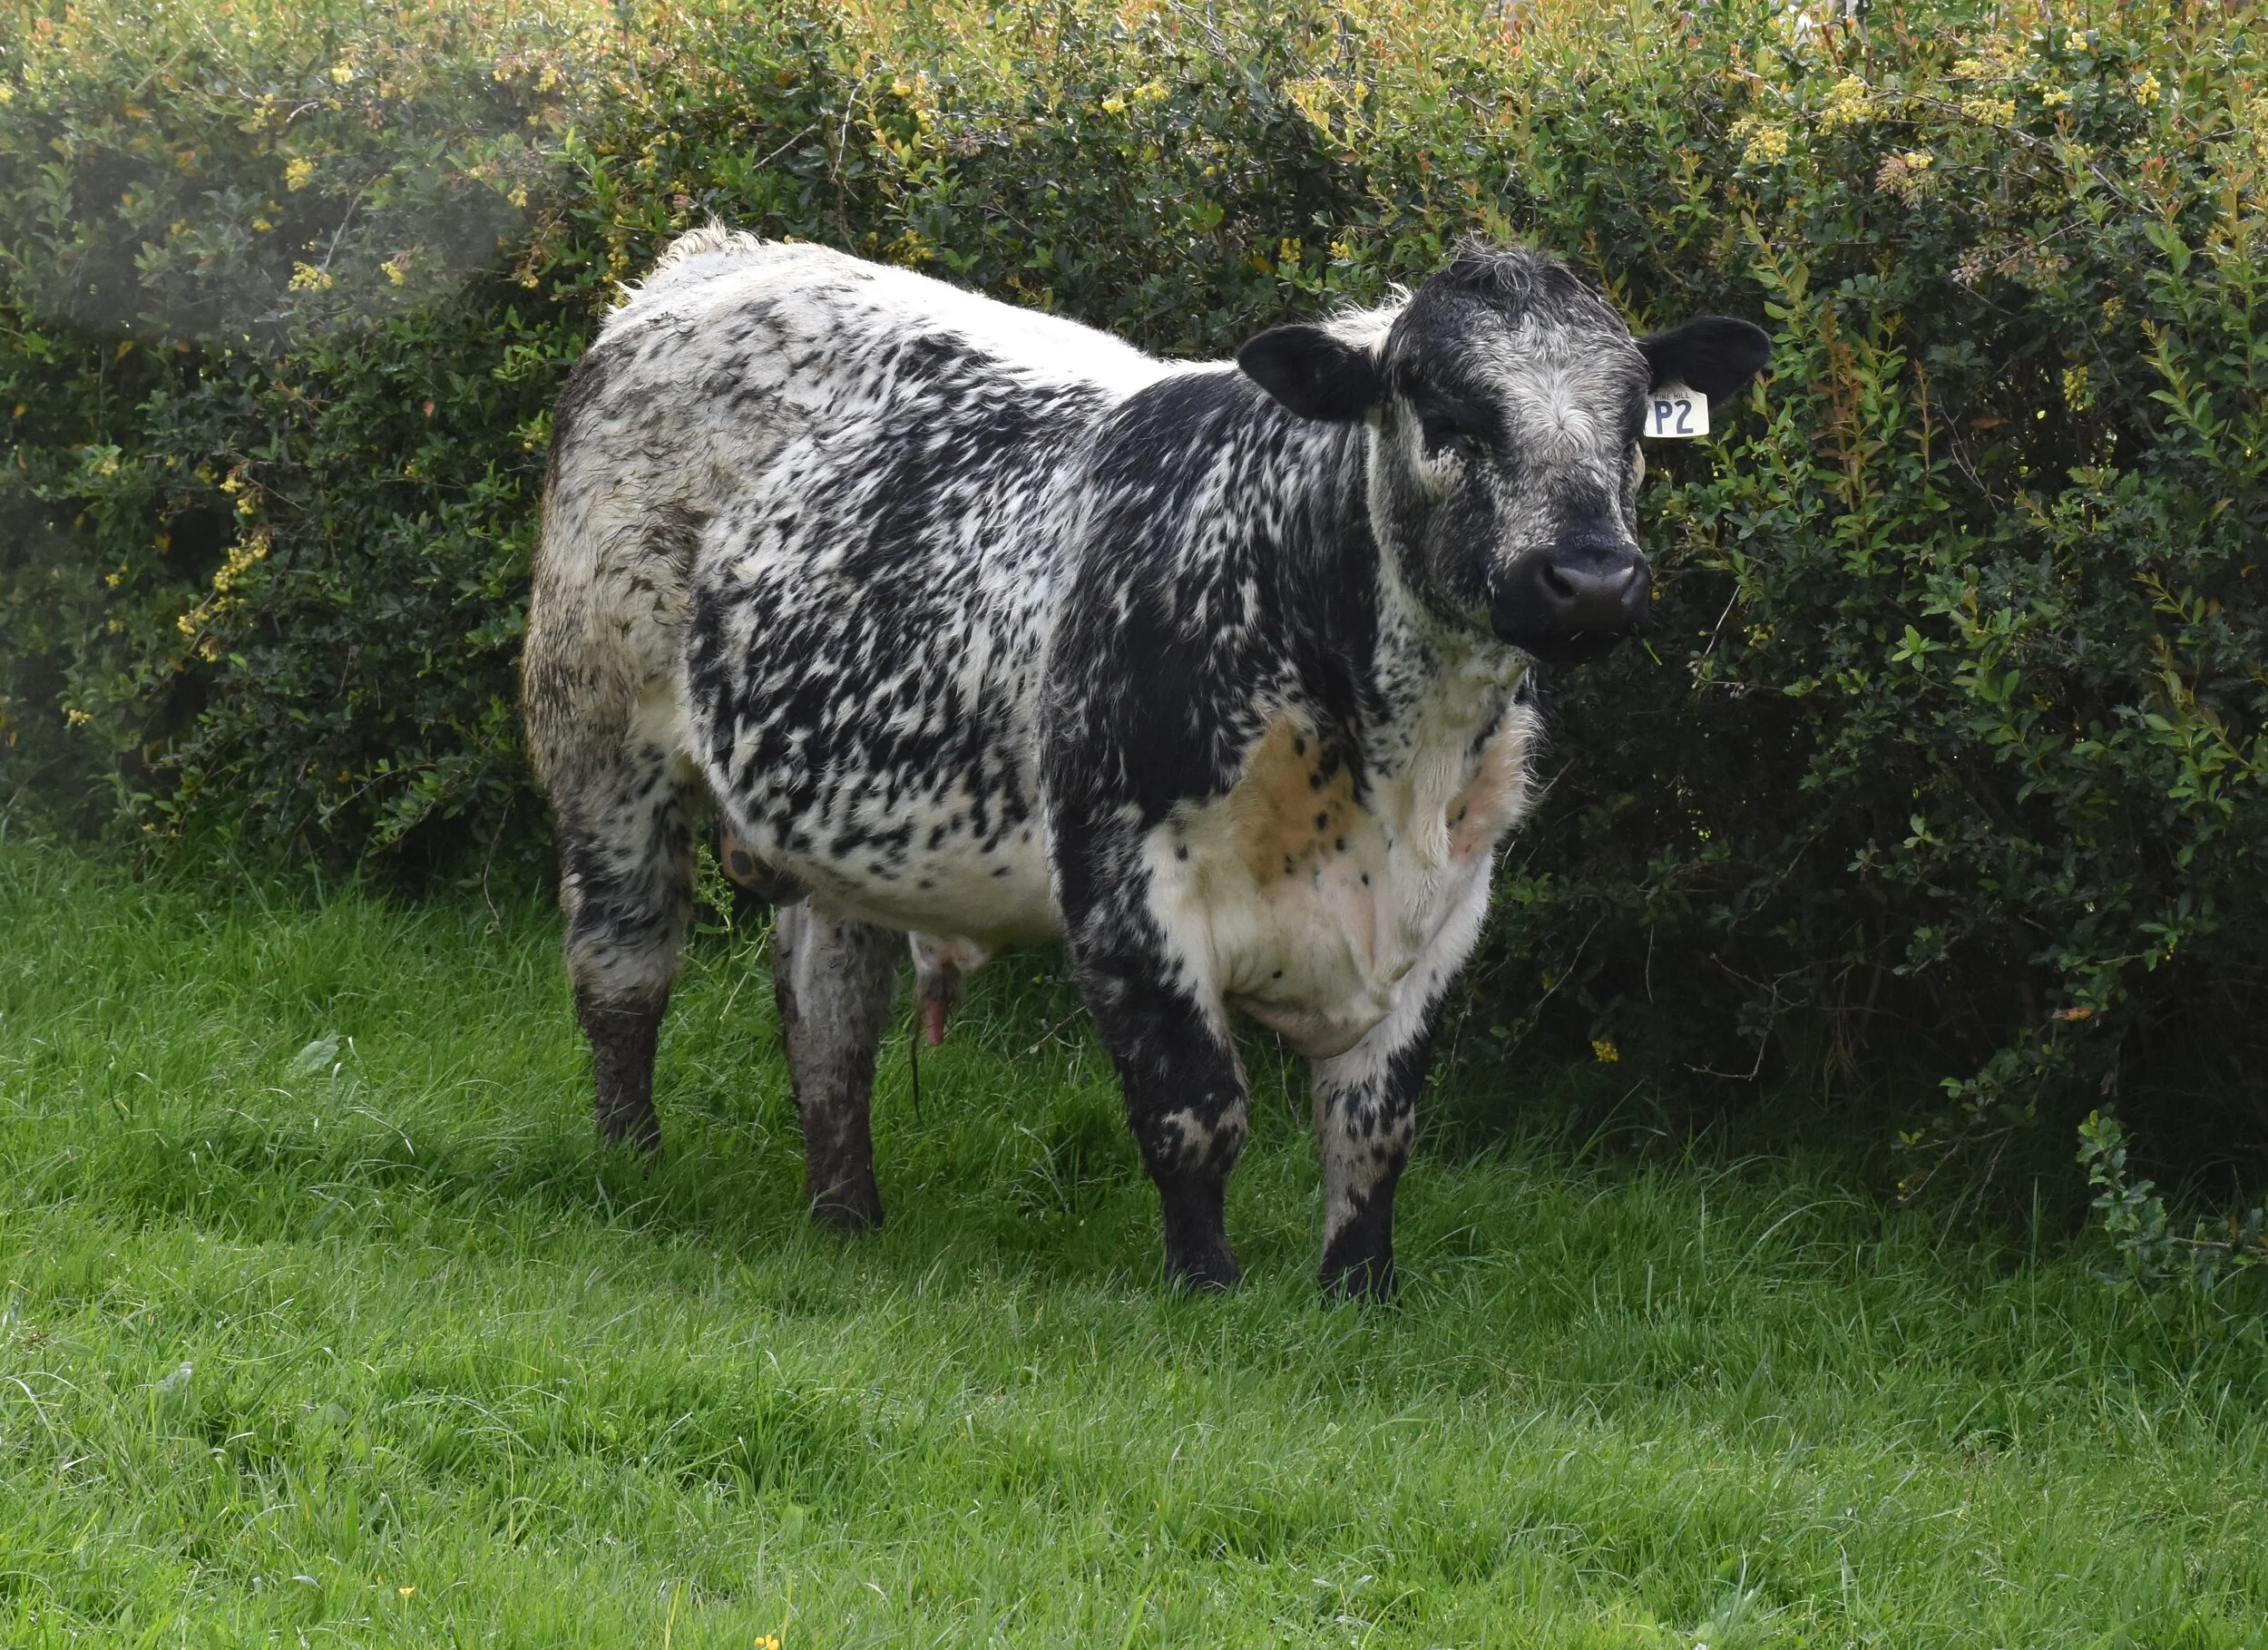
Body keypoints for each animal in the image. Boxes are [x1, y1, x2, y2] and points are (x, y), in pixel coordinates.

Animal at [521, 227, 1769, 1297]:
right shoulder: (1122, 881)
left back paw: (847, 1214)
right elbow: (1194, 1106)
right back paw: (632, 1162)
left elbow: (1374, 1128)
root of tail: (714, 261)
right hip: (601, 745)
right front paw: (1206, 1283)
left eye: (1632, 421)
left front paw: (1359, 1290)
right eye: (1448, 416)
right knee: (623, 967)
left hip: (831, 830)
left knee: (829, 1012)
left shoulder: (1448, 906)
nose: (1592, 579)